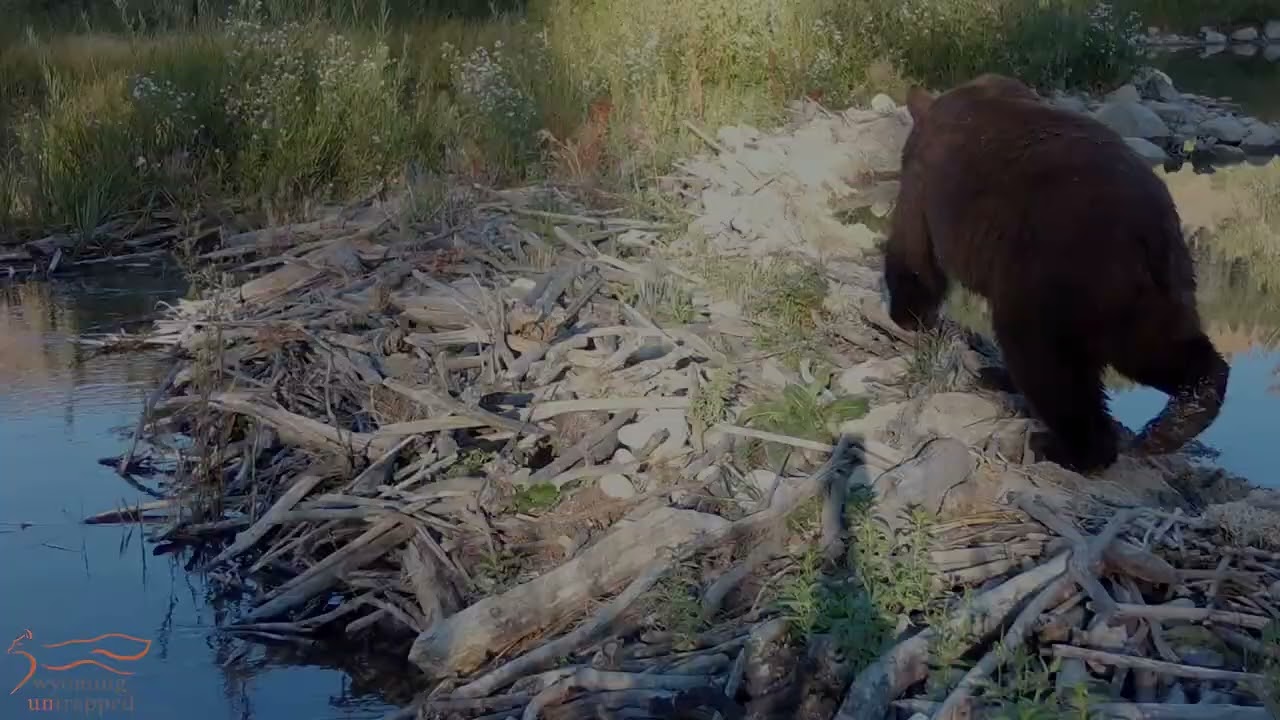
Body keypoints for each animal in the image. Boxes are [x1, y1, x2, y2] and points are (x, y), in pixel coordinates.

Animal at [881, 72, 1230, 474]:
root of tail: (1146, 228)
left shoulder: (924, 184)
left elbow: (913, 249)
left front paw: (908, 315)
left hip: (1050, 277)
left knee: (1050, 366)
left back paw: (1066, 447)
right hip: (1150, 291)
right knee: (1159, 347)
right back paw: (1174, 423)